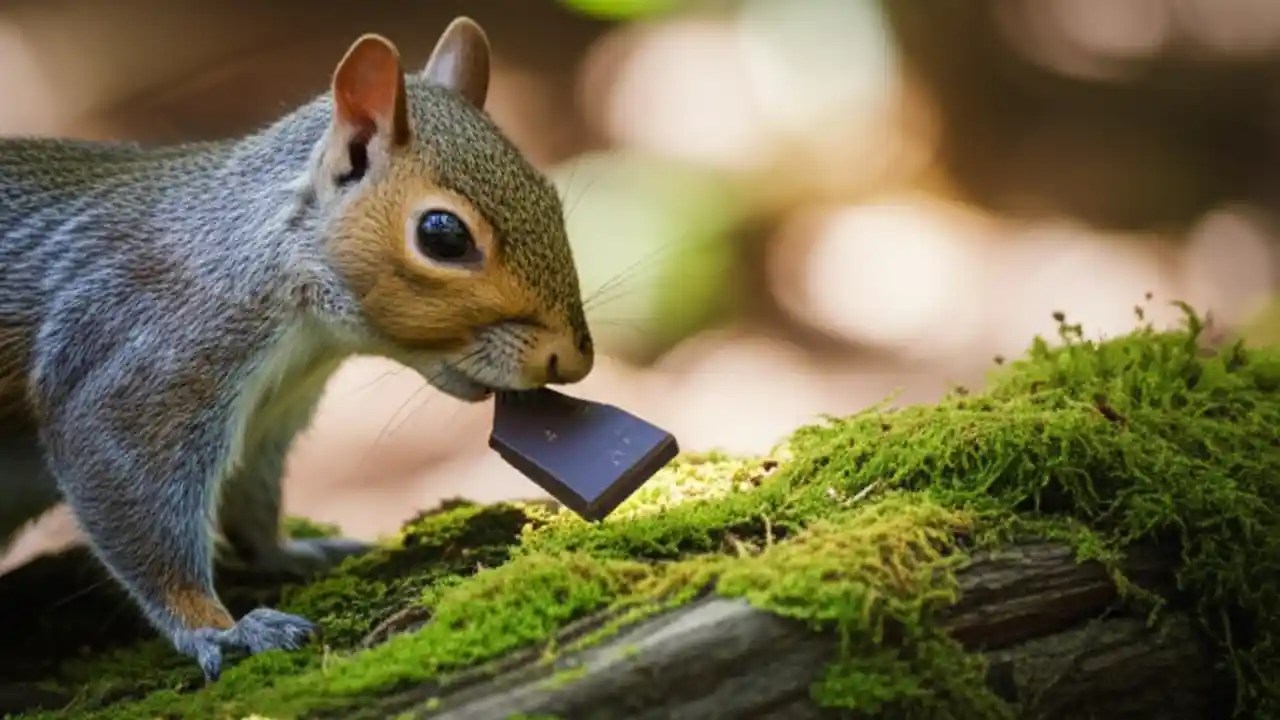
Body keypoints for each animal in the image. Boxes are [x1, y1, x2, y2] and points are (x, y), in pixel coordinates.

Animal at [0, 16, 594, 680]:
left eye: (550, 196)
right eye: (443, 235)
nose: (573, 359)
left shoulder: (272, 412)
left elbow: (250, 503)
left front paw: (295, 551)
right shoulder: (145, 358)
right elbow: (129, 499)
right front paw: (219, 627)